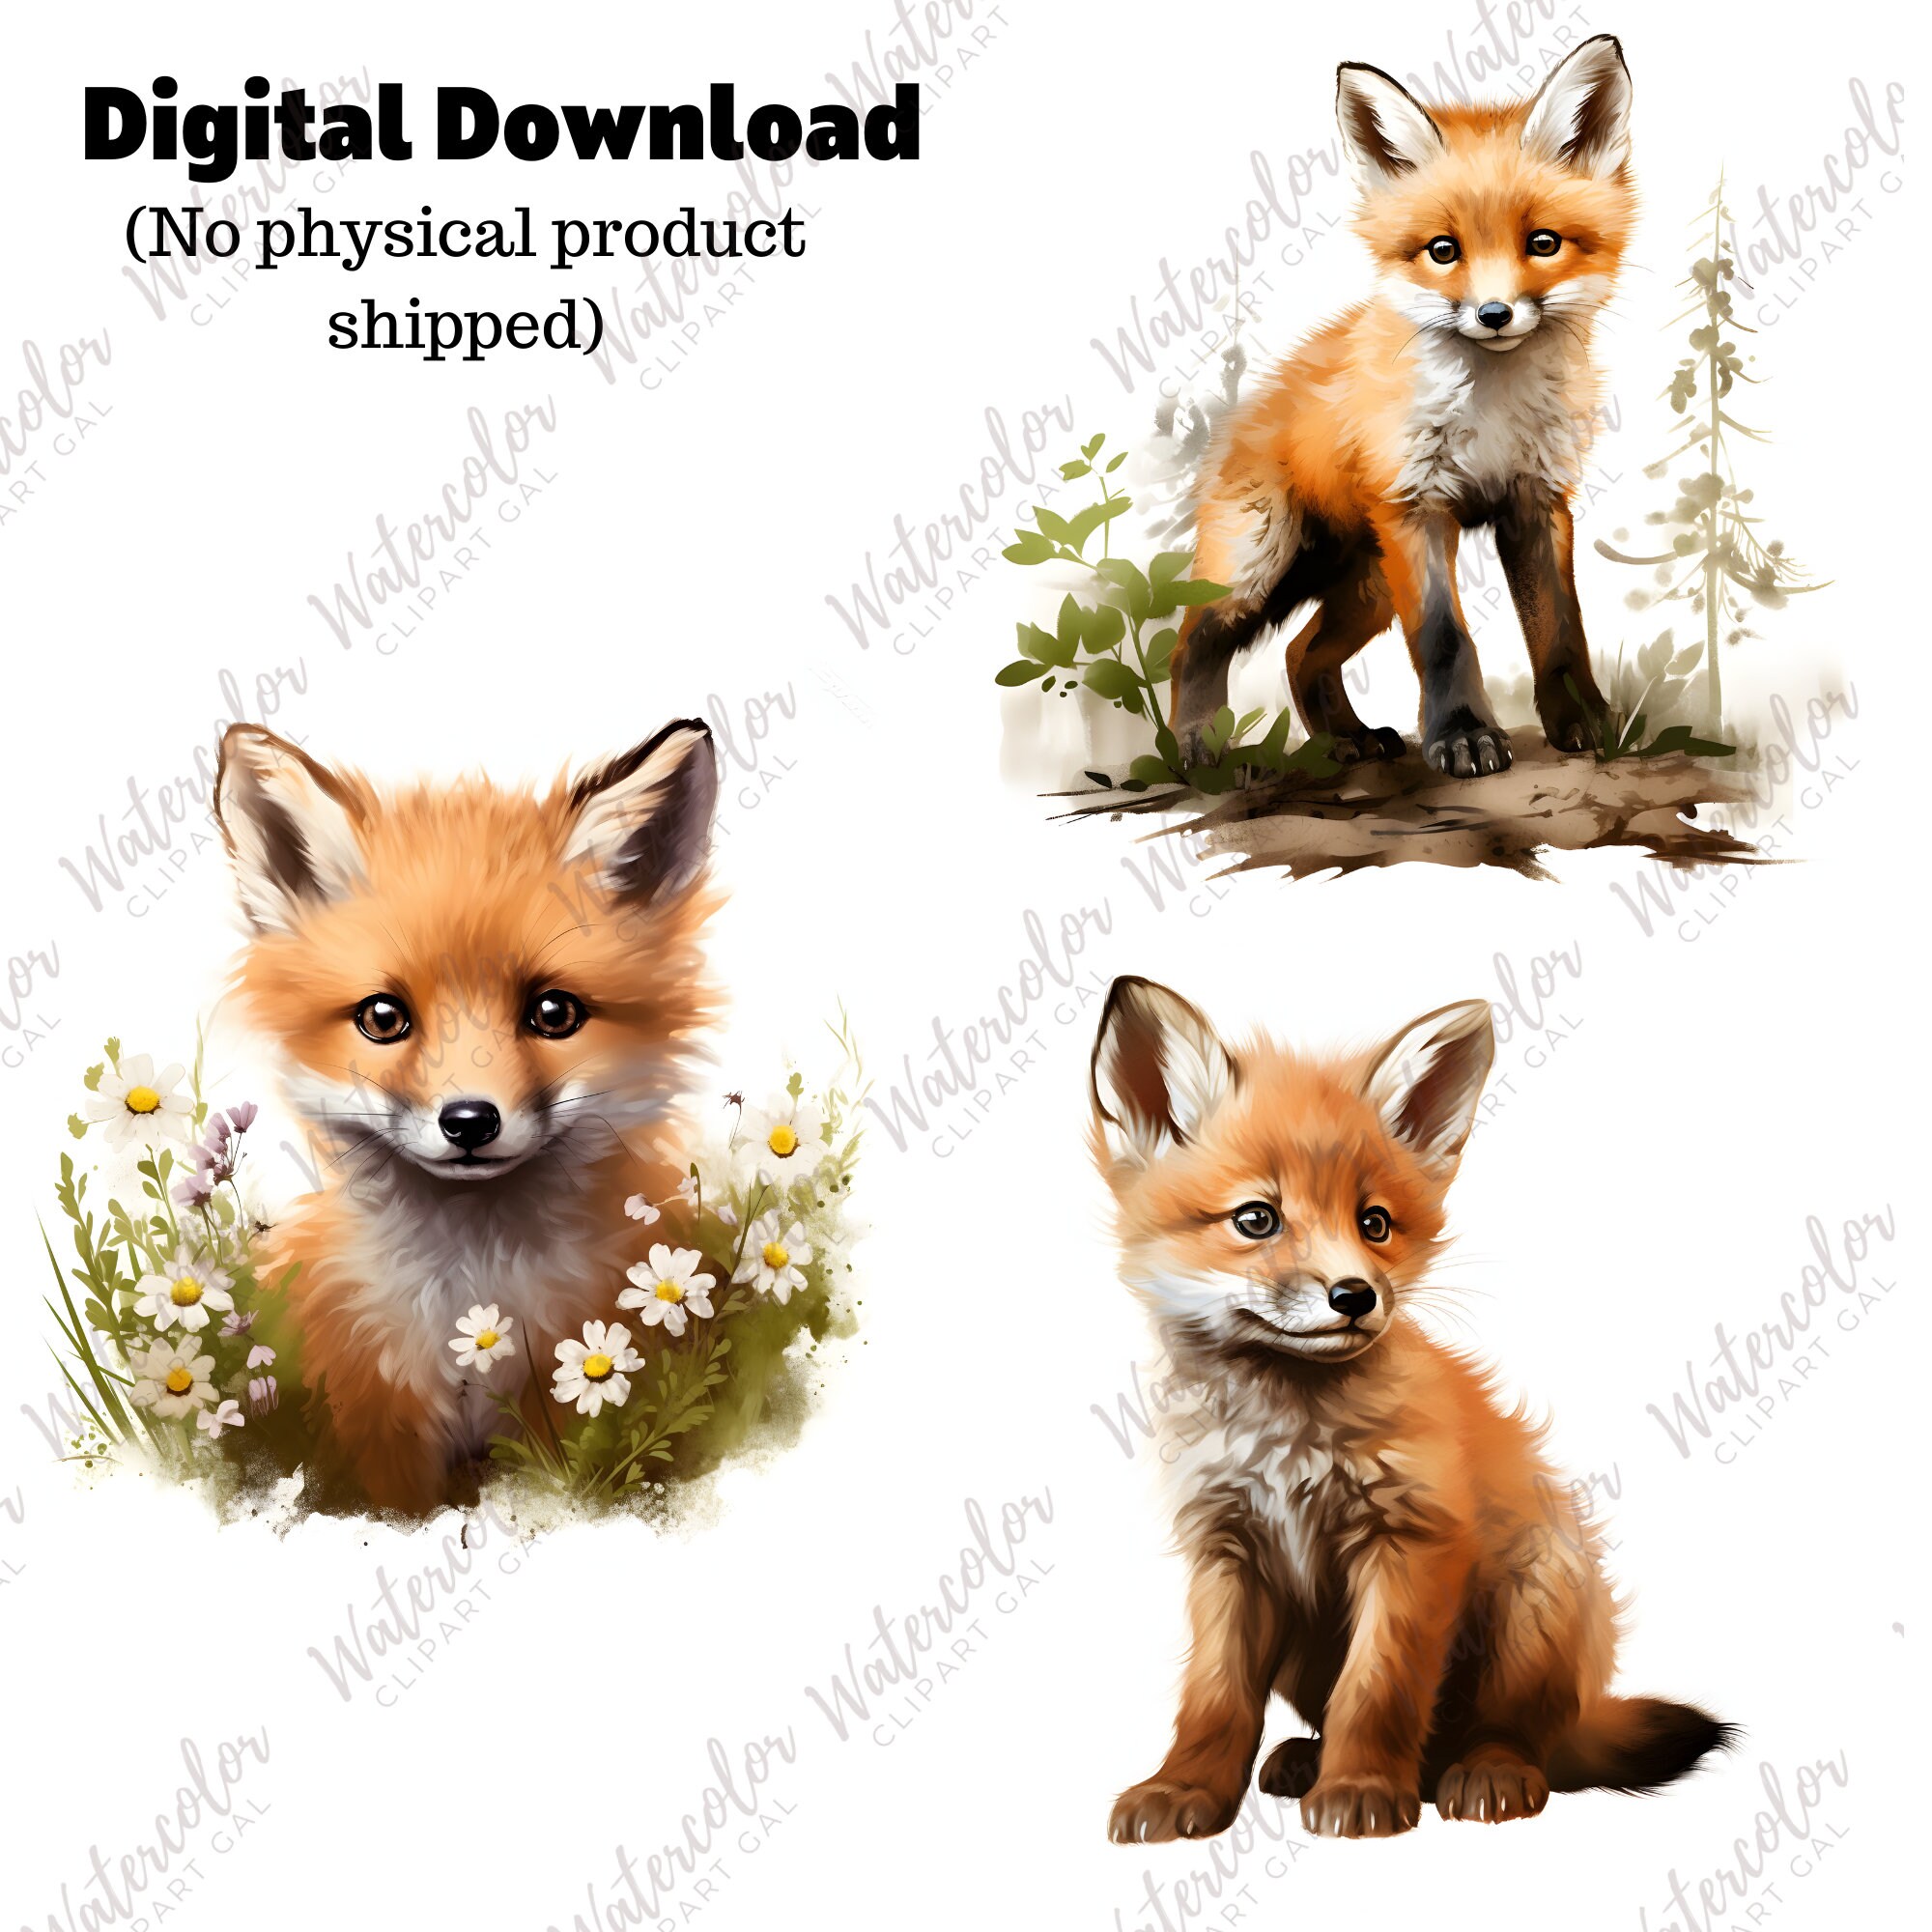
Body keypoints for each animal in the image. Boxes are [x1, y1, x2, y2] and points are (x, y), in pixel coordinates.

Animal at [1089, 976, 1730, 1840]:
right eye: (1256, 1218)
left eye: (1375, 1223)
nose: (1356, 1297)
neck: (1288, 1432)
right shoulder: (1226, 1553)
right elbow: (1214, 1699)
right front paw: (1184, 1788)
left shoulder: (1412, 1541)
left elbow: (1378, 1688)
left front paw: (1360, 1786)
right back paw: (1312, 1760)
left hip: (1539, 1597)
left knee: (1506, 1734)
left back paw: (1484, 1773)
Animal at [1170, 34, 1636, 778]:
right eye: (1443, 251)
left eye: (1543, 243)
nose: (1495, 314)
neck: (1491, 412)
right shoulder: (1416, 510)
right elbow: (1445, 640)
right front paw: (1464, 737)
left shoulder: (1536, 502)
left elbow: (1561, 631)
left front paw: (1584, 722)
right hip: (1258, 568)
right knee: (1194, 642)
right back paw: (1196, 746)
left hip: (1367, 591)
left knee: (1300, 655)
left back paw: (1347, 741)